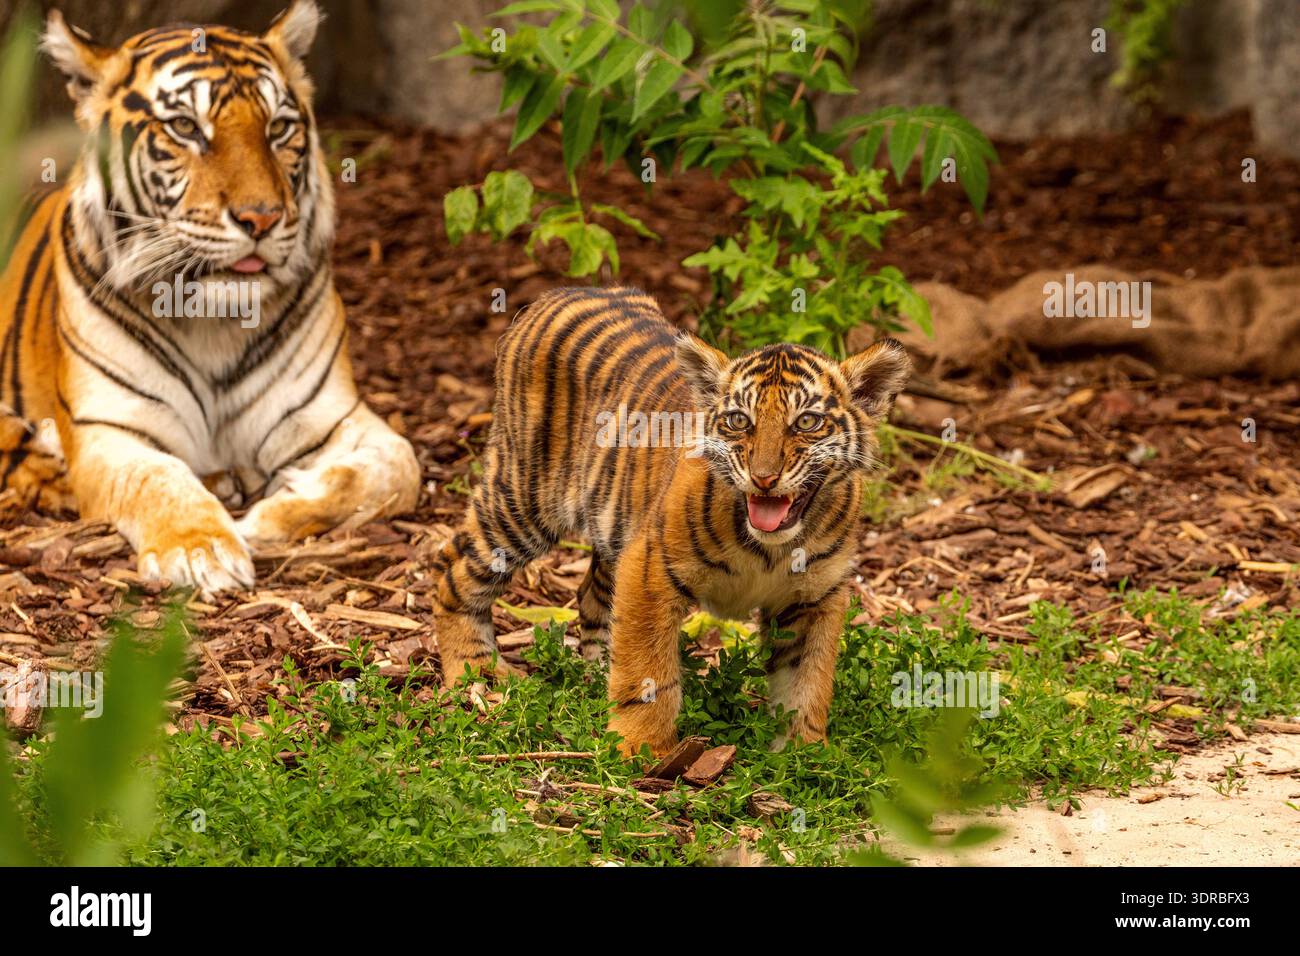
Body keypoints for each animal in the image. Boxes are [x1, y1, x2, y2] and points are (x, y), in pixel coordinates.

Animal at [0, 1, 419, 595]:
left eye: (278, 128)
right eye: (184, 128)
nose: (261, 218)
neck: (214, 323)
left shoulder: (333, 416)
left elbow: (398, 468)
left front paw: (268, 516)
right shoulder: (110, 430)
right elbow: (158, 476)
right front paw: (202, 551)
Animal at [431, 287, 910, 756]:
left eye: (807, 421)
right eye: (739, 421)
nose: (763, 477)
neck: (772, 547)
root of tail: (556, 293)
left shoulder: (816, 596)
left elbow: (806, 681)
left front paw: (805, 753)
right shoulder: (650, 571)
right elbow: (647, 670)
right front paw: (641, 749)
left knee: (590, 596)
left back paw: (594, 677)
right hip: (525, 497)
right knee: (454, 564)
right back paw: (477, 675)